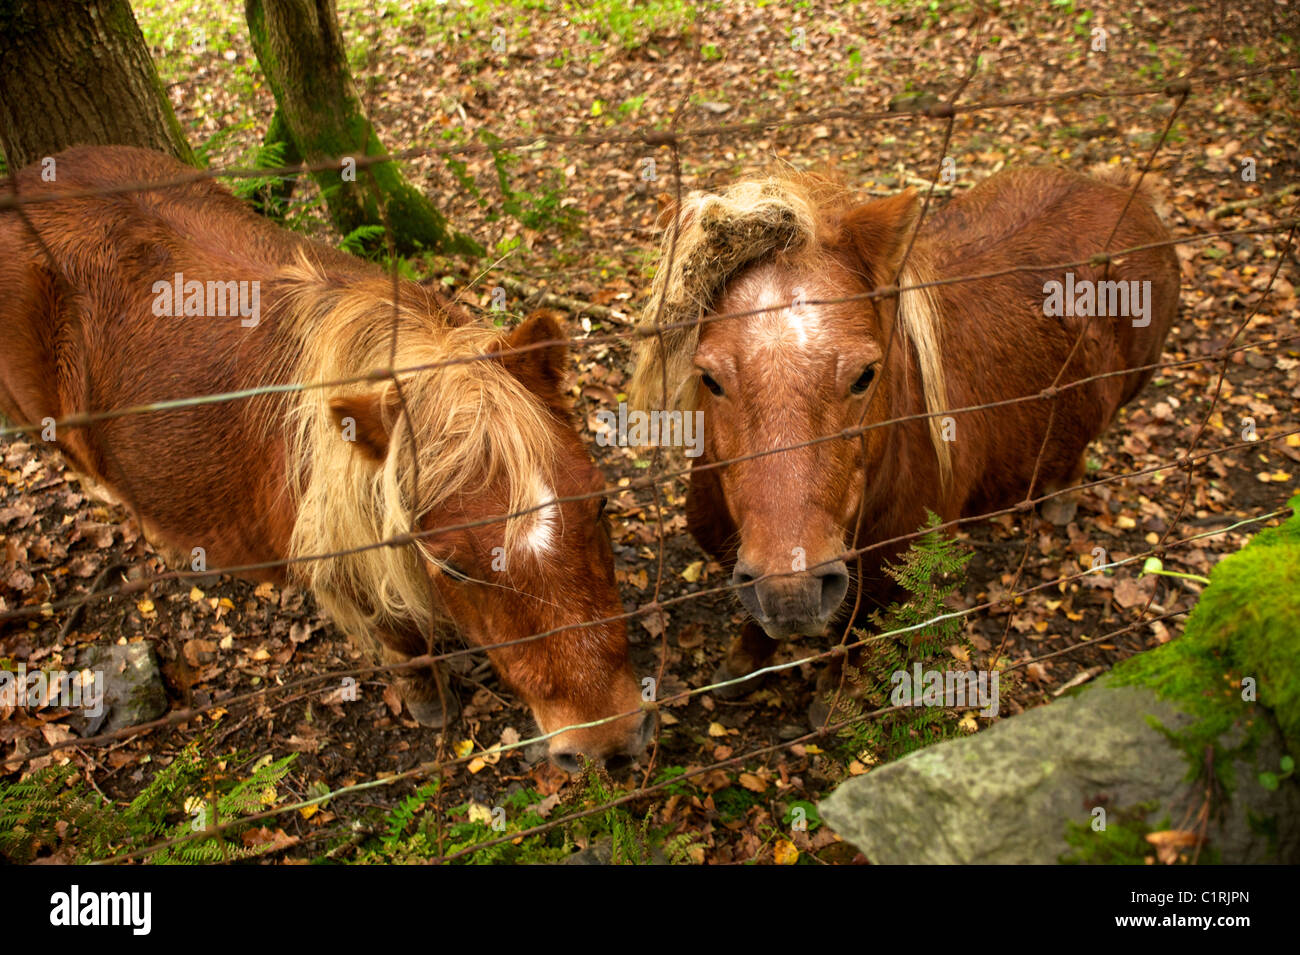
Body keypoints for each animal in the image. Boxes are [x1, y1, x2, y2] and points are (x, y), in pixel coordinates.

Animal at [630, 165, 1179, 698]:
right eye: (710, 378)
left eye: (865, 375)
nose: (792, 591)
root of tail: (1123, 191)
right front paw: (743, 666)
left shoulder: (892, 584)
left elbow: (861, 633)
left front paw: (839, 694)